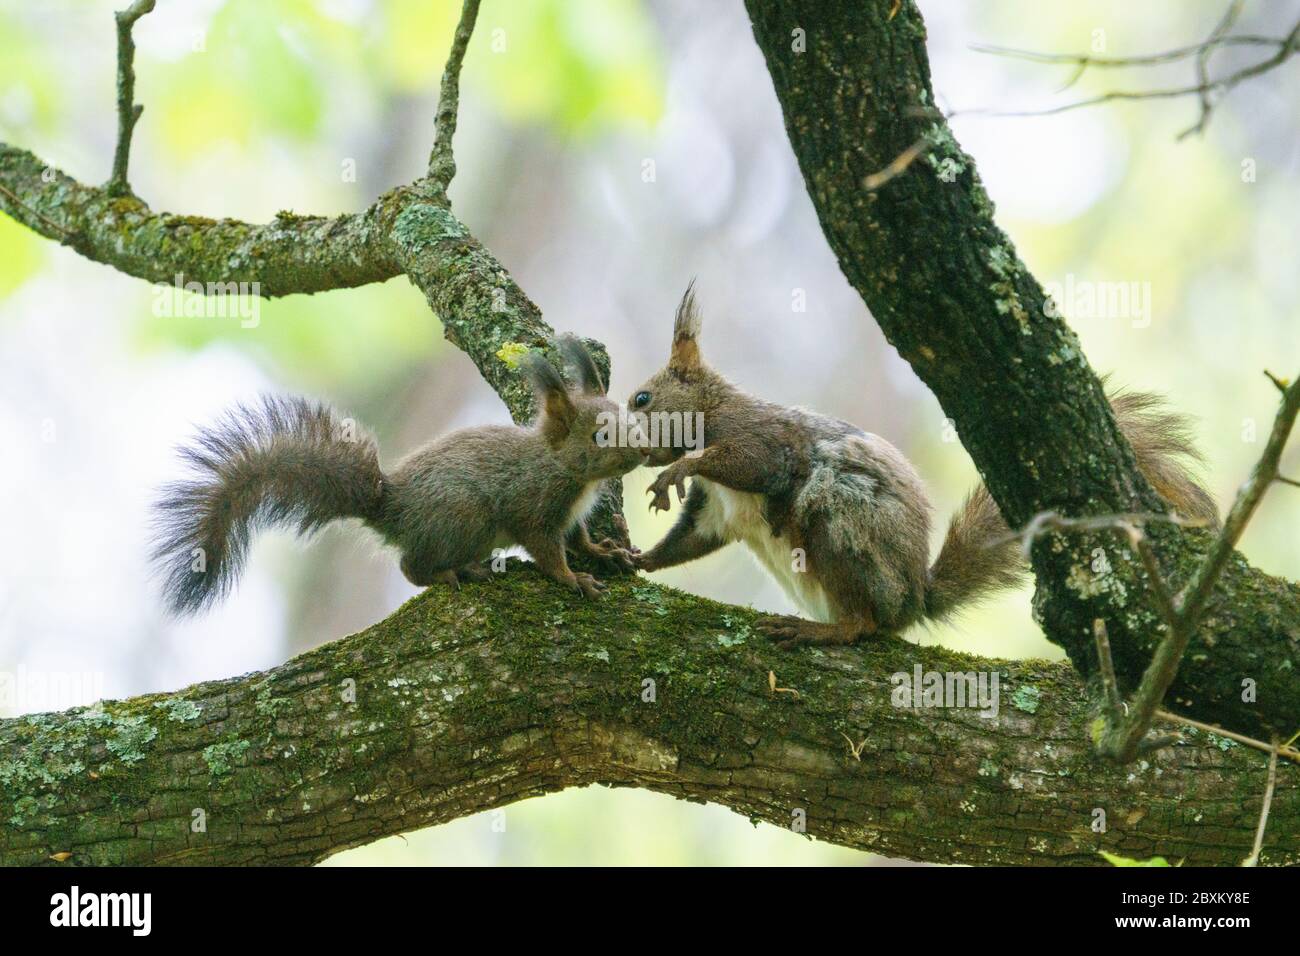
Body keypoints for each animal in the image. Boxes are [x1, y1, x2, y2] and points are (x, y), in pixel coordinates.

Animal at [153, 335, 642, 614]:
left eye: (627, 414)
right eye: (600, 435)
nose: (641, 449)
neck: (562, 466)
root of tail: (391, 508)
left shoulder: (570, 514)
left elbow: (578, 538)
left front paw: (603, 551)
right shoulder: (533, 506)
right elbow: (547, 551)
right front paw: (573, 579)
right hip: (465, 518)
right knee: (410, 565)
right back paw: (453, 572)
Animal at [626, 285, 1220, 648]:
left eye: (641, 399)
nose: (631, 444)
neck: (712, 409)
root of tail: (914, 599)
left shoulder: (761, 437)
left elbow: (760, 465)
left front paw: (675, 472)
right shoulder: (717, 511)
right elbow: (691, 538)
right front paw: (633, 557)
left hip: (841, 523)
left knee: (865, 622)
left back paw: (829, 631)